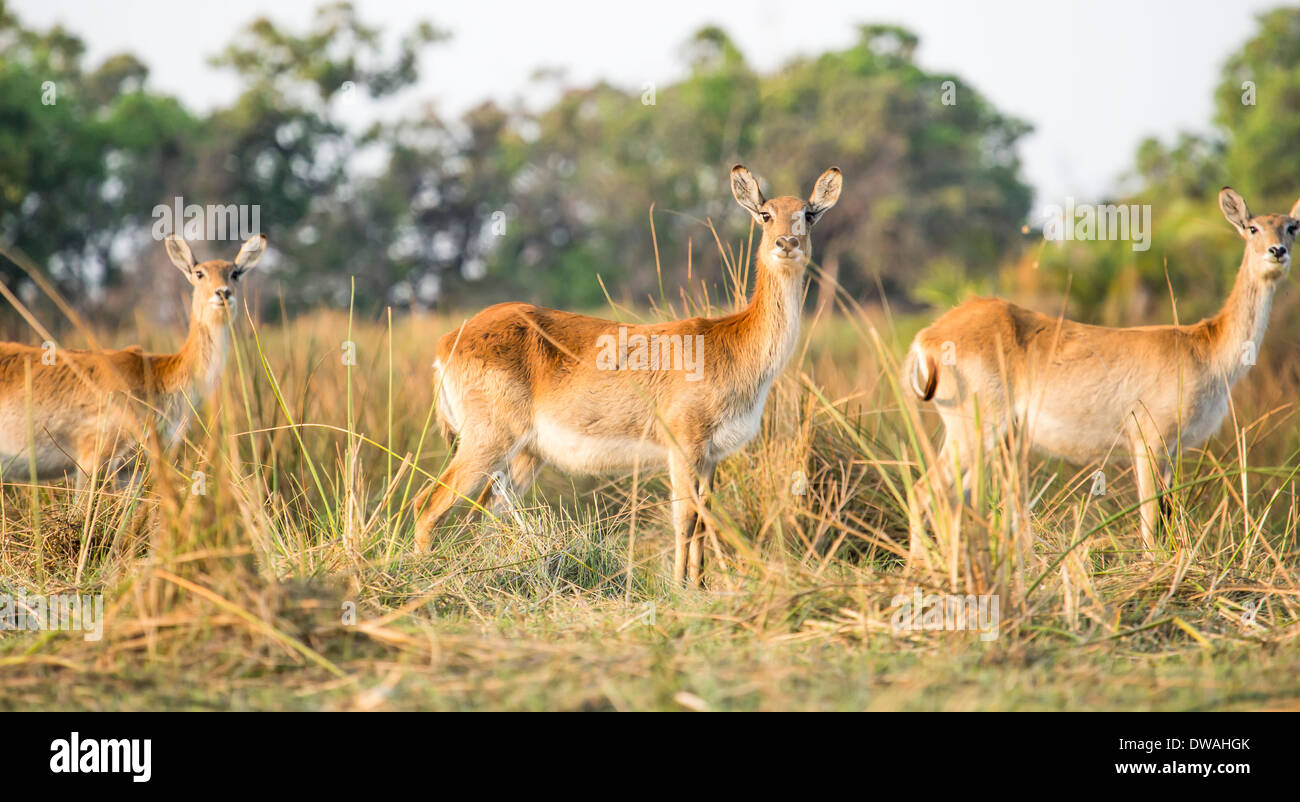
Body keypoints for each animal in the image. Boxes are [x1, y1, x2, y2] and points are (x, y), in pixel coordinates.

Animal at [0, 234, 265, 487]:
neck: (159, 376)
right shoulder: (92, 459)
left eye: (234, 272)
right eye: (199, 273)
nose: (222, 292)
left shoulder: (131, 469)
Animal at [411, 164, 842, 585]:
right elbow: (685, 520)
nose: (787, 243)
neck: (734, 344)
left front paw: (700, 588)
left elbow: (704, 523)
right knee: (428, 504)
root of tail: (447, 342)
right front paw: (679, 591)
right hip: (486, 442)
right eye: (765, 214)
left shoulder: (711, 457)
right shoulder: (684, 445)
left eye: (808, 213)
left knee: (487, 511)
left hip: (524, 455)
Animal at [903, 188, 1298, 560]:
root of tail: (930, 334)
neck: (1205, 347)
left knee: (954, 501)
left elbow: (1167, 515)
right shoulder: (1149, 442)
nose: (1277, 251)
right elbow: (1150, 520)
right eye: (1253, 227)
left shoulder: (1171, 451)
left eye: (1292, 226)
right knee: (924, 492)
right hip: (974, 432)